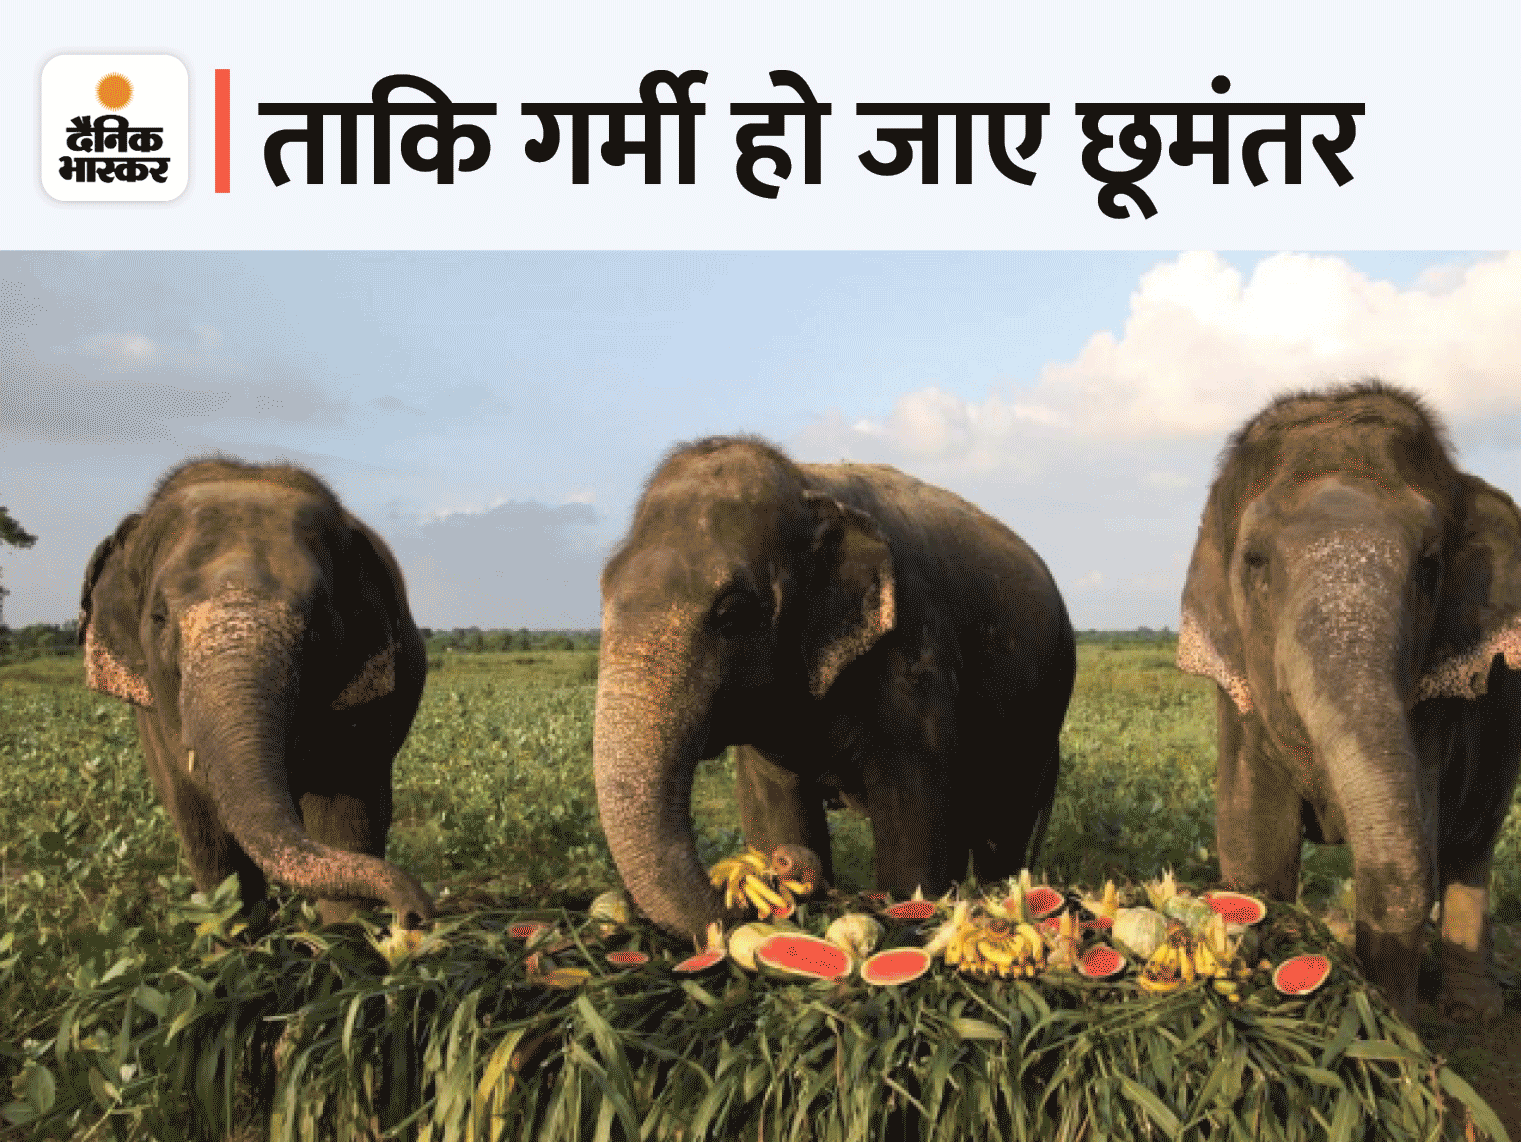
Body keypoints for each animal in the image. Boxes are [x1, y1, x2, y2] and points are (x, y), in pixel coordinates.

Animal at [79, 457, 435, 928]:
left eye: (320, 623)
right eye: (158, 617)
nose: (415, 914)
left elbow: (346, 816)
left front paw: (347, 938)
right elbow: (203, 828)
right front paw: (234, 935)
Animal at [593, 435, 1077, 939]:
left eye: (732, 613)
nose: (740, 902)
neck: (807, 484)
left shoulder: (915, 651)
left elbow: (913, 822)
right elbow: (776, 808)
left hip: (1040, 718)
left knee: (1002, 826)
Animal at [1177, 381, 1521, 1022]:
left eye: (1429, 564)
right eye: (1255, 562)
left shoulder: (1433, 698)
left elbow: (1422, 827)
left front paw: (1391, 1031)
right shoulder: (1238, 693)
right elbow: (1255, 842)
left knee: (1470, 845)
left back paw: (1473, 1008)